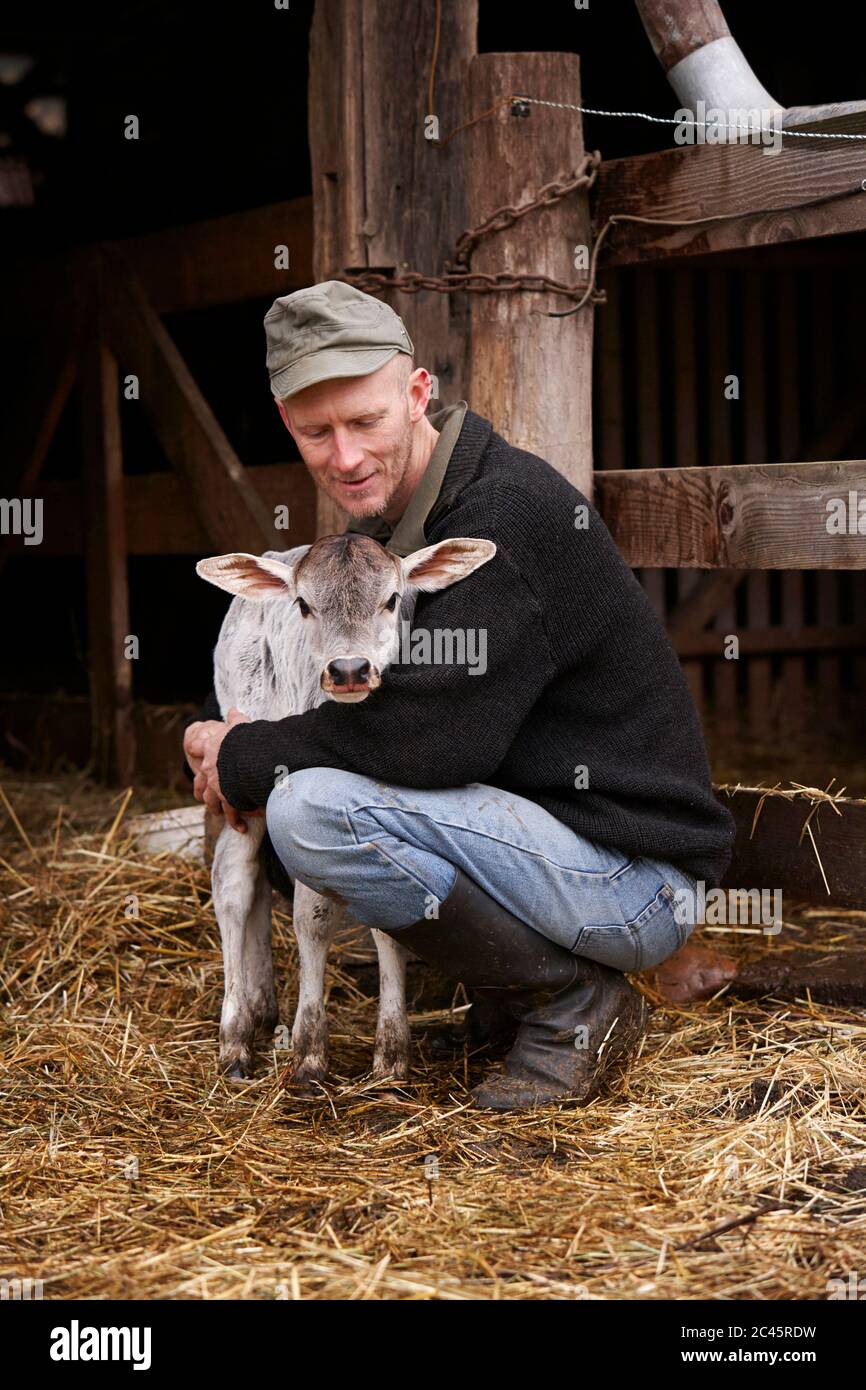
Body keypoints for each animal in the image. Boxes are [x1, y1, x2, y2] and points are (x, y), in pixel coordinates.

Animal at [195, 532, 496, 1085]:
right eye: (303, 604)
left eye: (392, 599)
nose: (349, 669)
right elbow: (311, 916)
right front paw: (310, 1052)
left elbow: (392, 923)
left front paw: (392, 1053)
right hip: (241, 762)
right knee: (233, 883)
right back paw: (235, 1037)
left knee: (257, 889)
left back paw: (261, 1010)